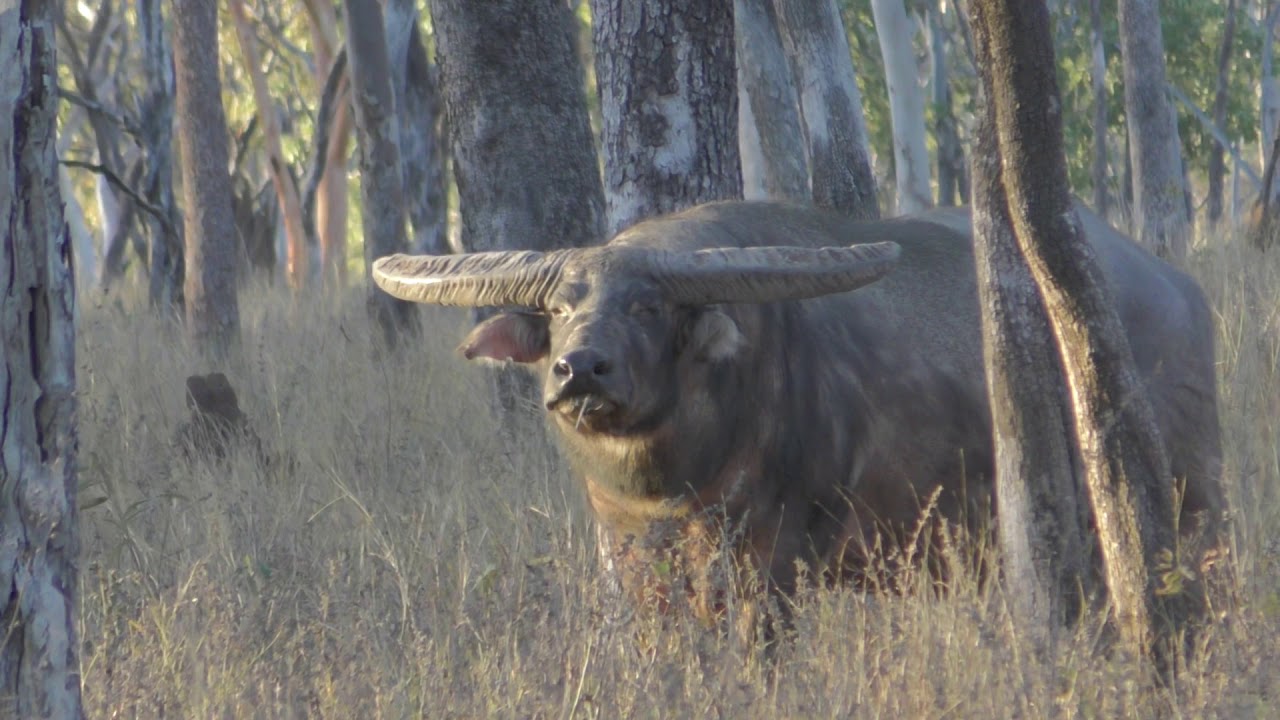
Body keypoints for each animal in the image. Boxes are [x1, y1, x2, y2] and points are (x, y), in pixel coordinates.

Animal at [372, 201, 1224, 614]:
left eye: (648, 306)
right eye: (556, 309)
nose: (581, 369)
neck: (669, 488)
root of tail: (1180, 294)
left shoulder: (769, 562)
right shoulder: (637, 565)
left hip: (1186, 508)